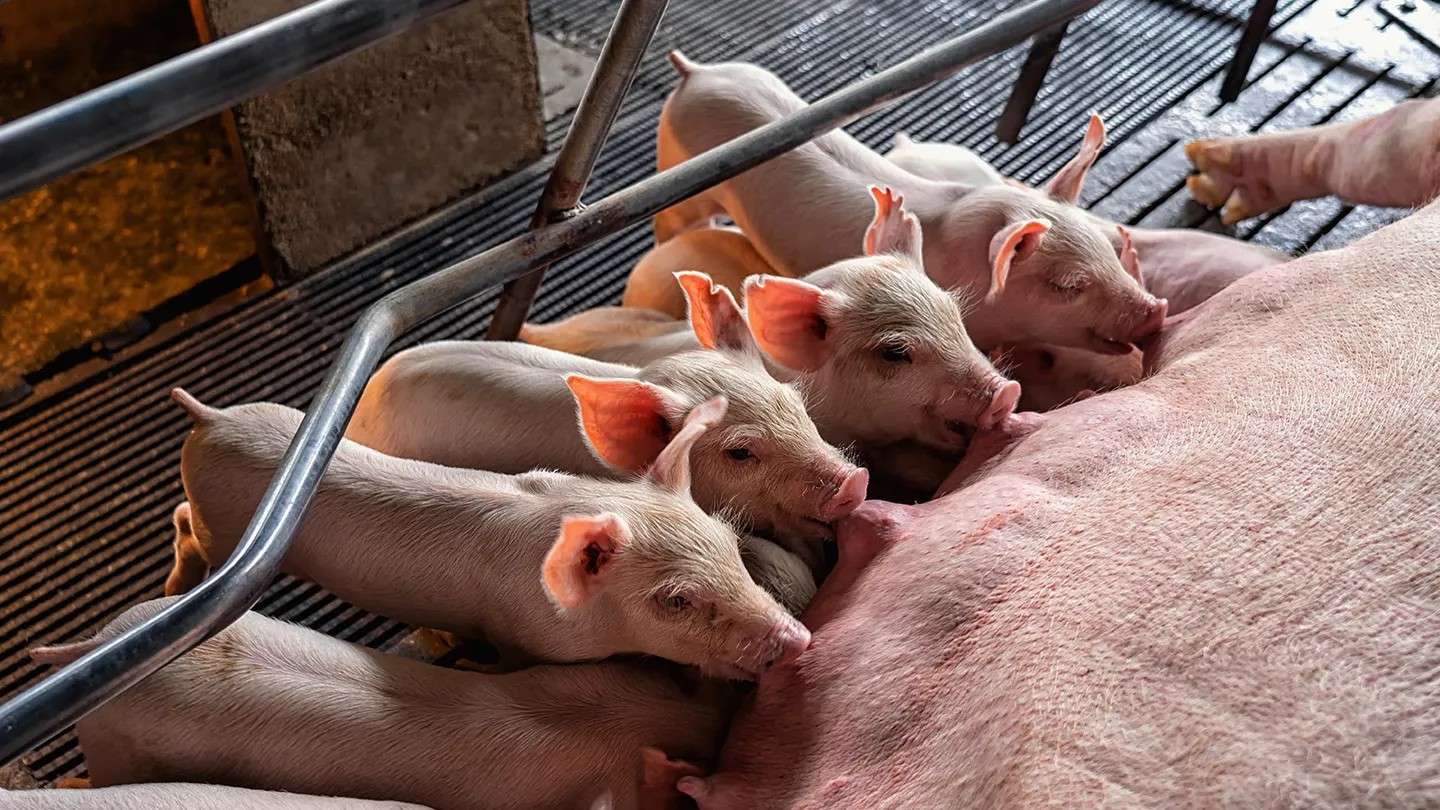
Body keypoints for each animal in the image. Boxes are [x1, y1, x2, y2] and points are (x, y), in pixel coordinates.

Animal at [168, 390, 809, 679]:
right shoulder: (522, 635)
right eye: (675, 601)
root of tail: (209, 417)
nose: (800, 638)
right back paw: (178, 591)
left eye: (731, 546)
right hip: (225, 533)